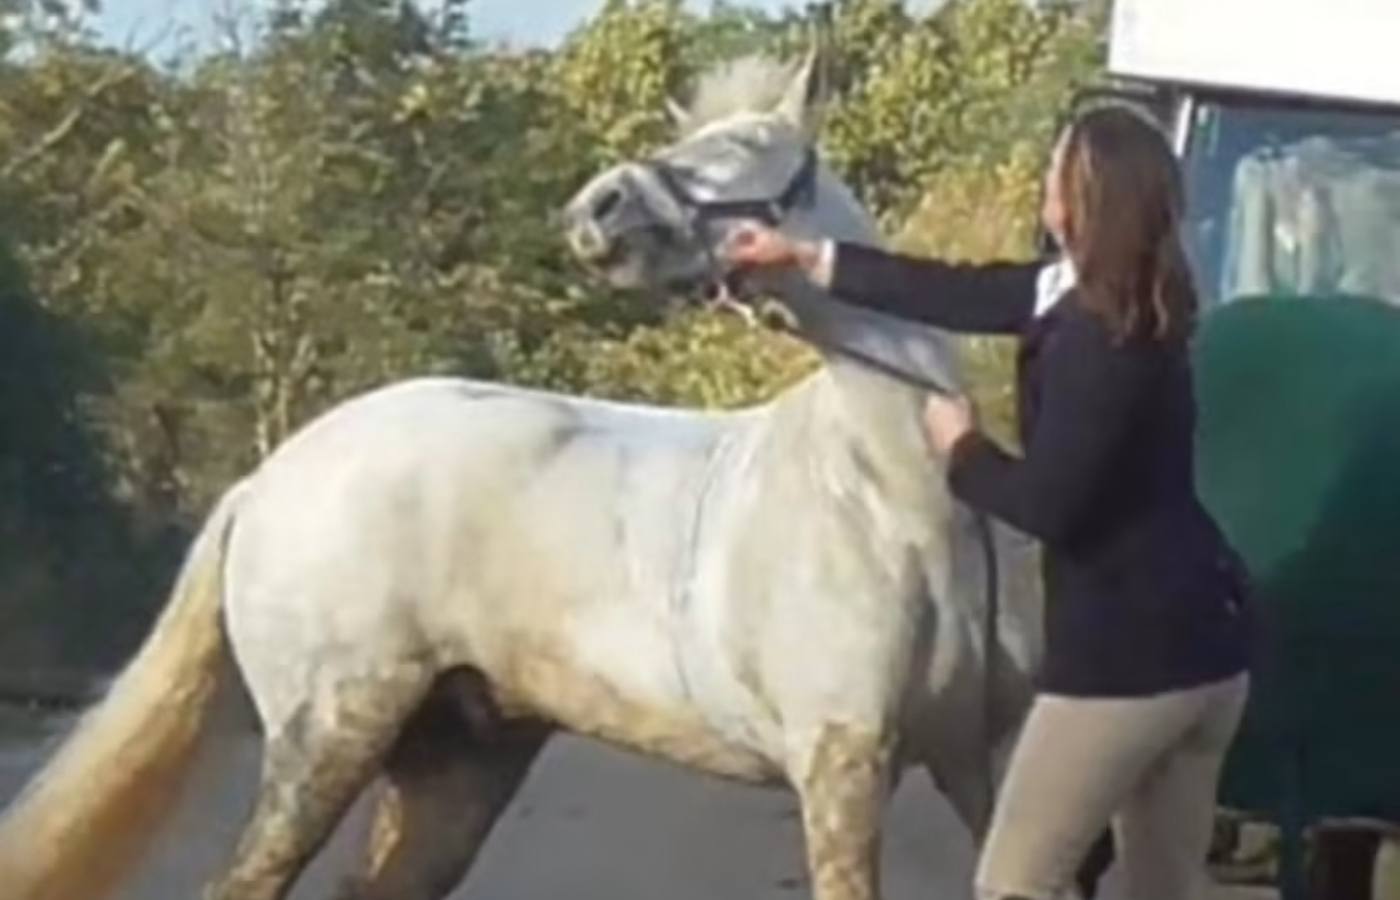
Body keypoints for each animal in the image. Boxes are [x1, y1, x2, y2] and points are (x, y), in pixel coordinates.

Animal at [0, 48, 1048, 900]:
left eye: (752, 142)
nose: (596, 209)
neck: (893, 497)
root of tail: (266, 482)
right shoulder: (841, 764)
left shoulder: (981, 759)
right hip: (326, 740)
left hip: (456, 763)